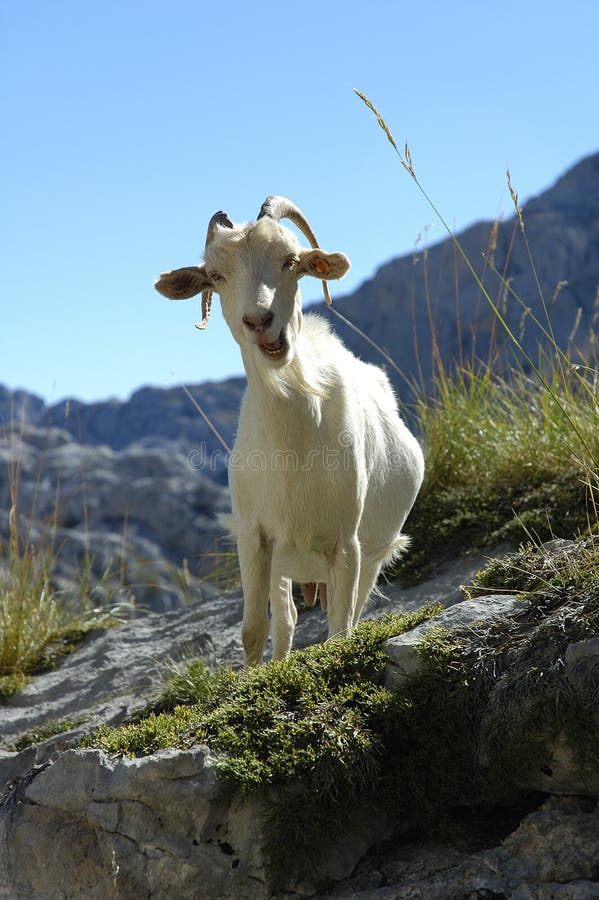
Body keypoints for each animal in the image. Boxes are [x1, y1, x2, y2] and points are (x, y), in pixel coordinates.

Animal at [155, 196, 424, 665]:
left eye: (290, 261)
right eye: (216, 276)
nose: (259, 320)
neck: (294, 446)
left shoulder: (346, 544)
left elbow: (341, 631)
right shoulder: (254, 538)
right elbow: (253, 631)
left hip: (373, 554)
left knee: (350, 612)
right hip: (283, 564)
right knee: (286, 622)